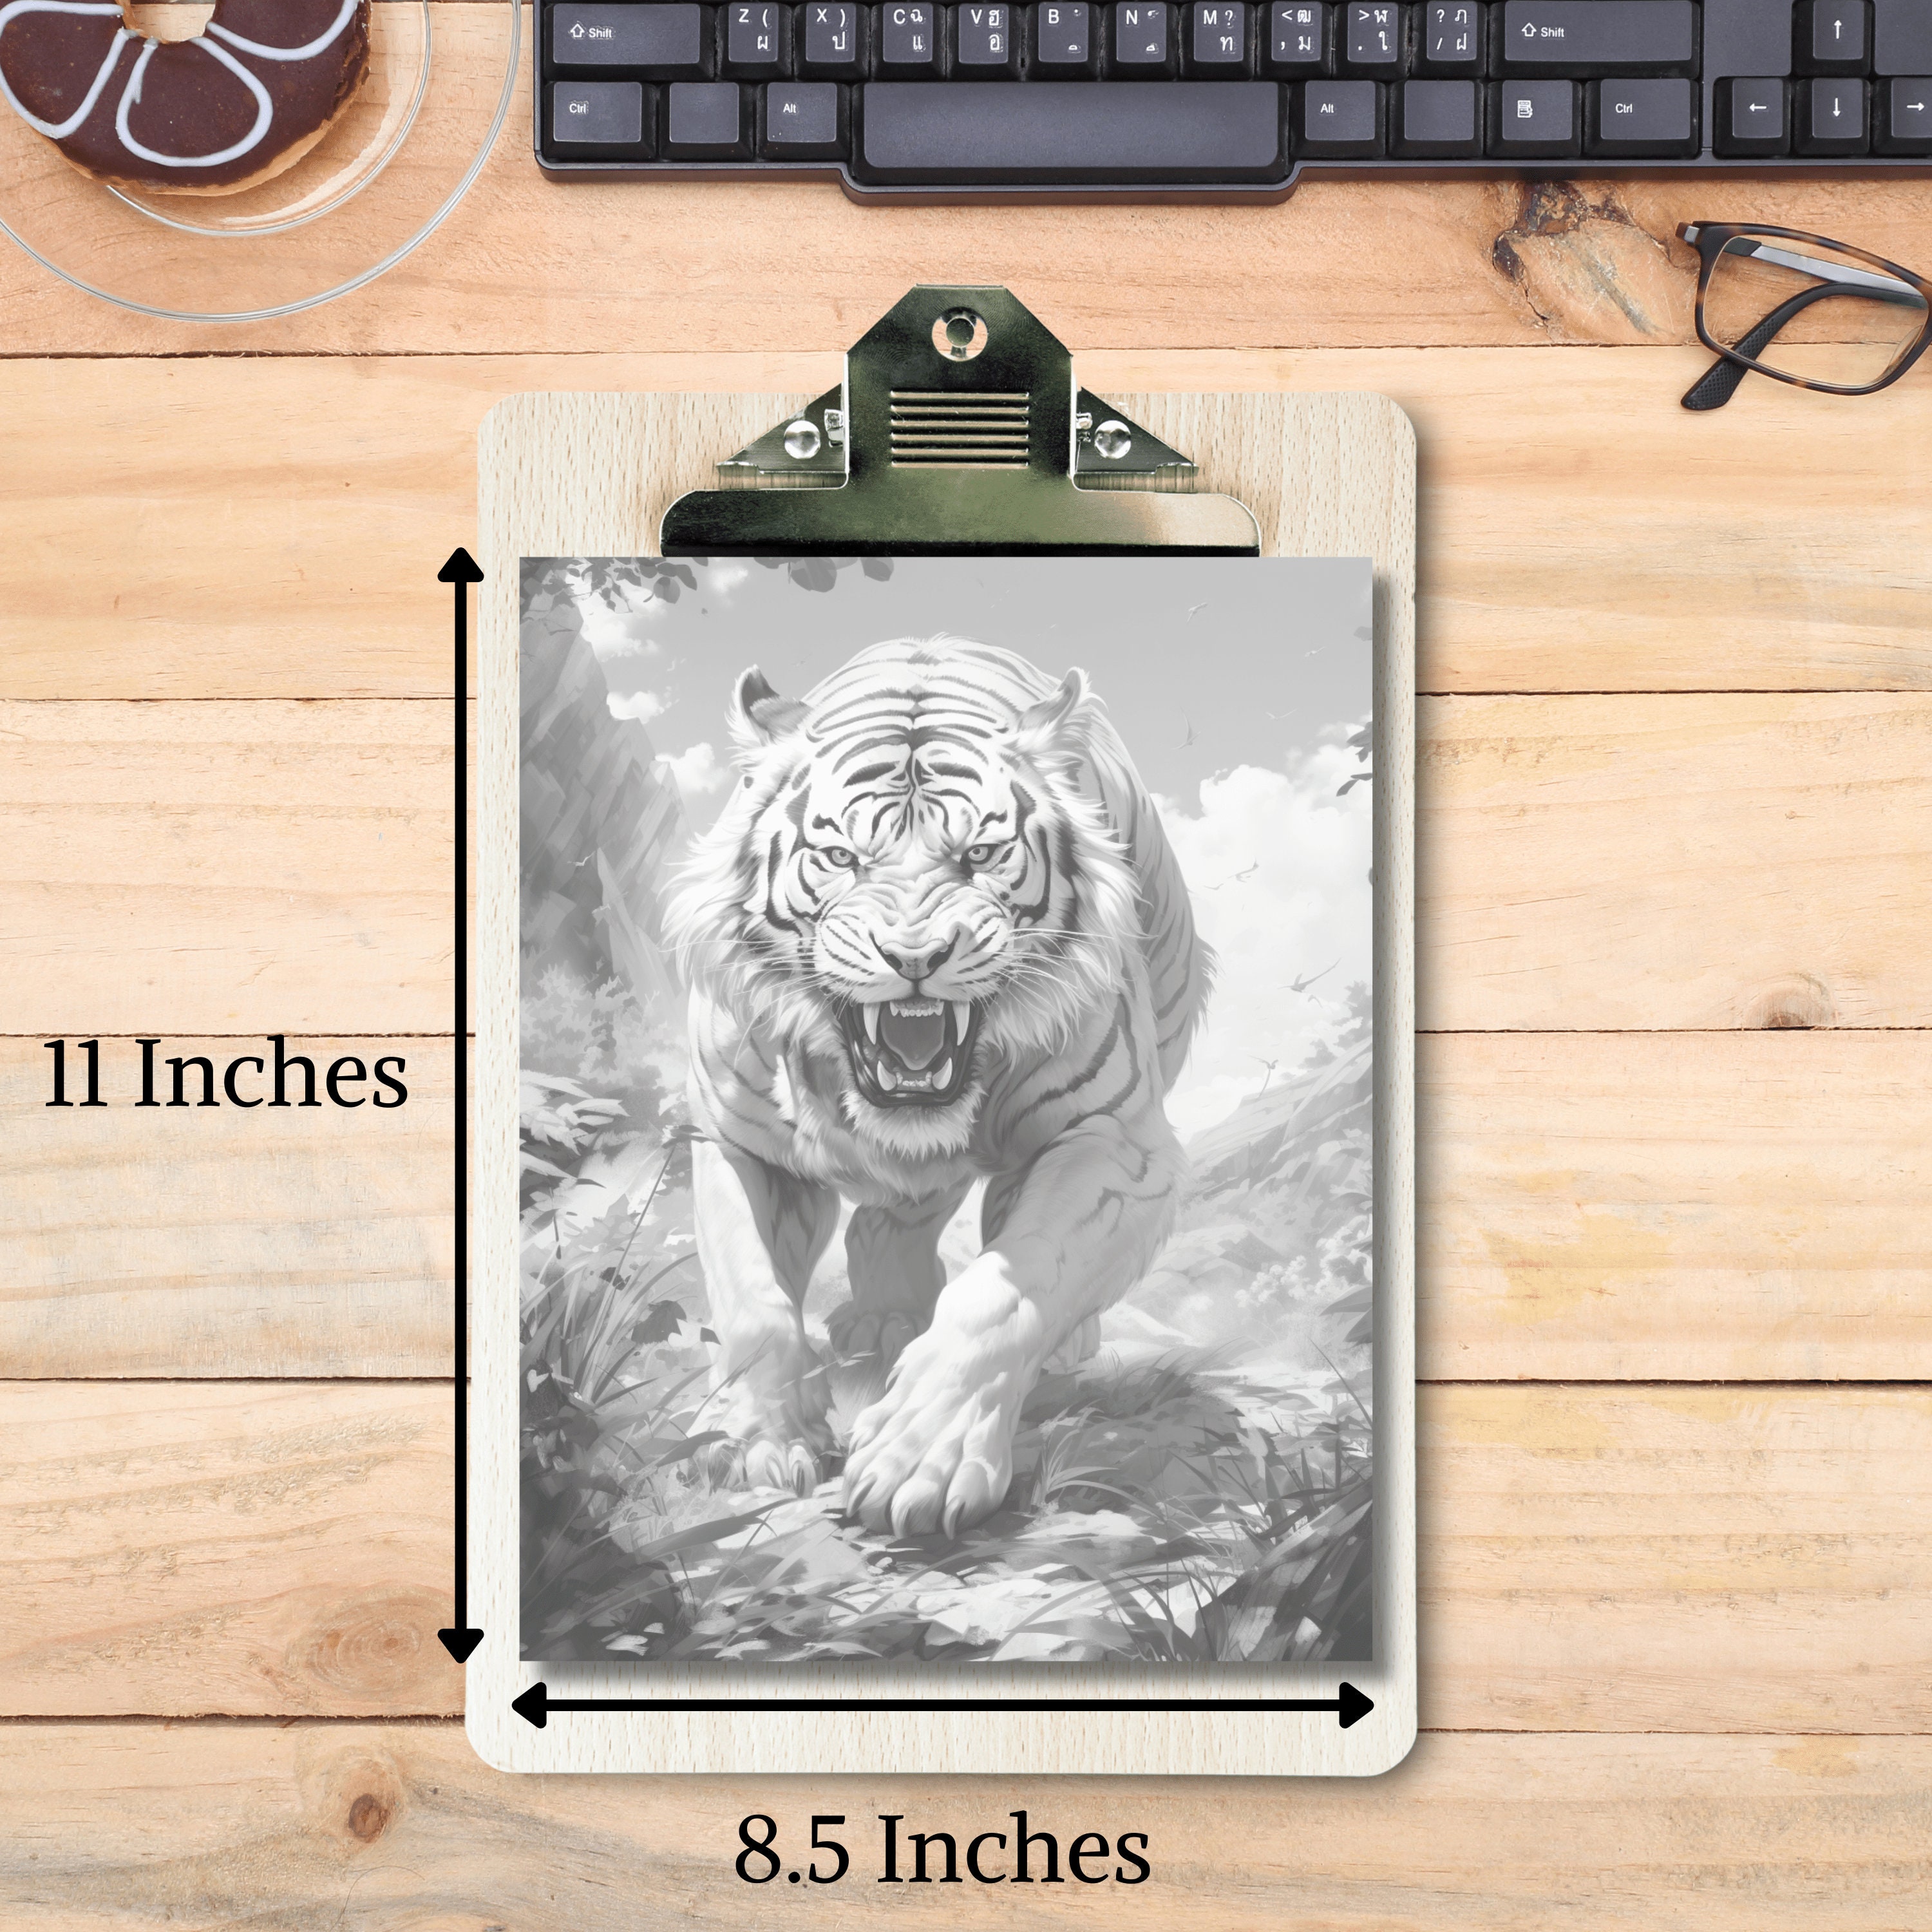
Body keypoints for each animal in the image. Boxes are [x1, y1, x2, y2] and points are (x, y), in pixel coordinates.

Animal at [664, 637, 1212, 1538]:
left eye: (980, 857)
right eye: (841, 858)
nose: (914, 957)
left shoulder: (1115, 1143)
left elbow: (1005, 1292)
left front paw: (918, 1458)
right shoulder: (733, 1140)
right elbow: (752, 1302)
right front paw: (750, 1441)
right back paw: (878, 1320)